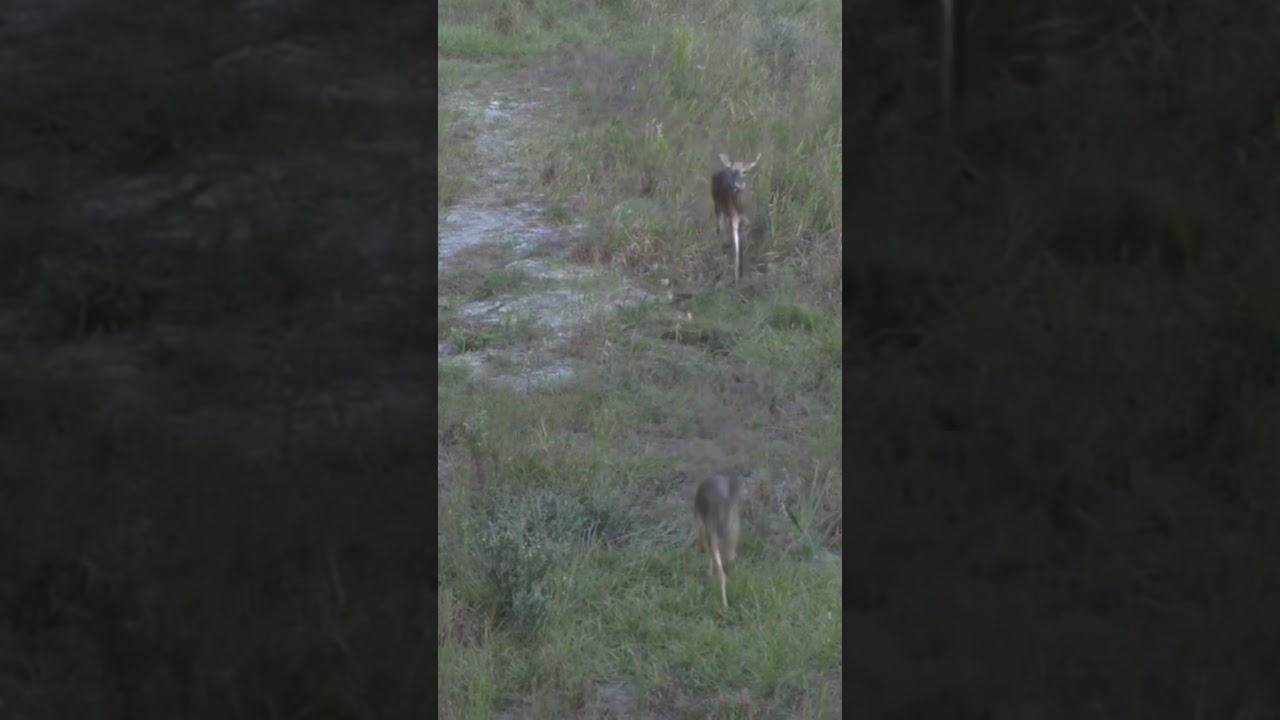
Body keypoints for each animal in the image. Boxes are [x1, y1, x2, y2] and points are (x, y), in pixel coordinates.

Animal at [711, 153, 761, 283]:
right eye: (732, 171)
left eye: (745, 171)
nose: (735, 185)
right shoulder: (734, 220)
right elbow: (737, 246)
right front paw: (737, 276)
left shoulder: (746, 222)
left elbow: (743, 243)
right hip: (717, 205)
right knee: (719, 225)